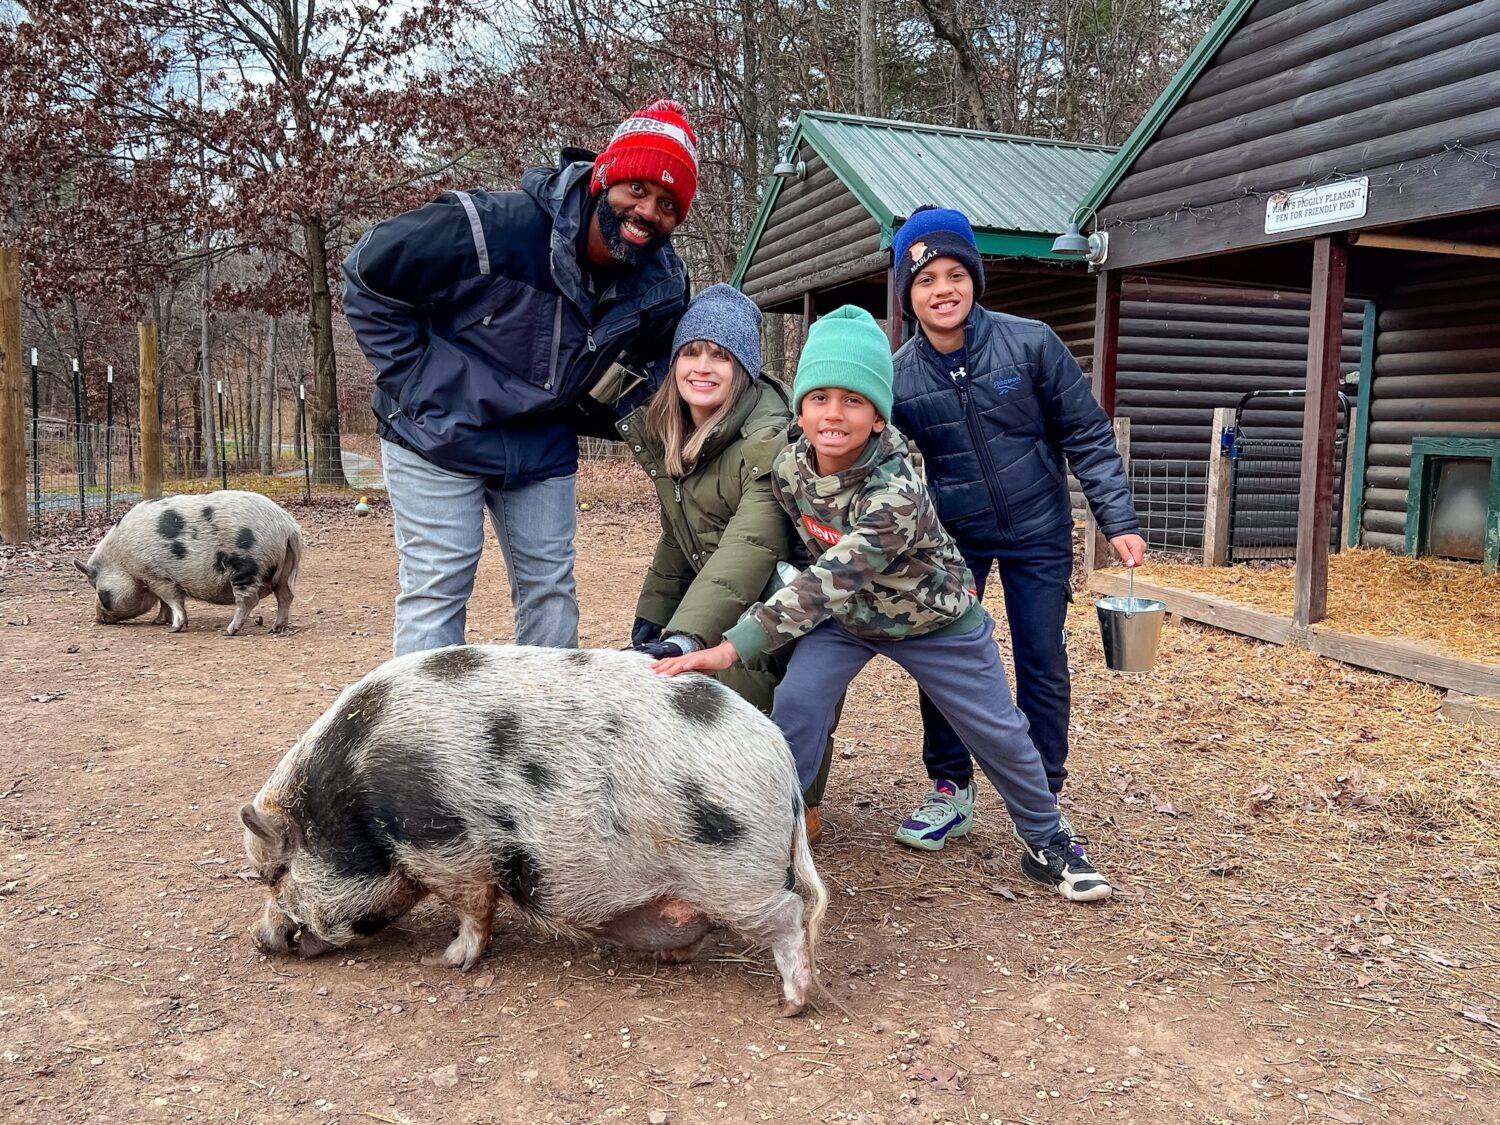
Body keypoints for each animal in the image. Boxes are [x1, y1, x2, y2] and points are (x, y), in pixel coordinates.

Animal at [74, 490, 304, 635]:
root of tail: (288, 526)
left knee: (249, 600)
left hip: (247, 567)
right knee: (286, 596)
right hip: (284, 571)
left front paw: (173, 628)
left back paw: (229, 631)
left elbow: (172, 599)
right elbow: (164, 602)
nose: (98, 618)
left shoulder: (157, 575)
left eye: (99, 591)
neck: (123, 563)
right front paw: (158, 622)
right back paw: (276, 629)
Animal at [240, 645, 828, 1015]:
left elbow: (475, 912)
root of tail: (783, 767)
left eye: (276, 873)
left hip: (735, 873)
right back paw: (671, 957)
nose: (259, 939)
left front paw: (443, 962)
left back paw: (791, 1006)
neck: (358, 807)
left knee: (791, 914)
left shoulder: (446, 849)